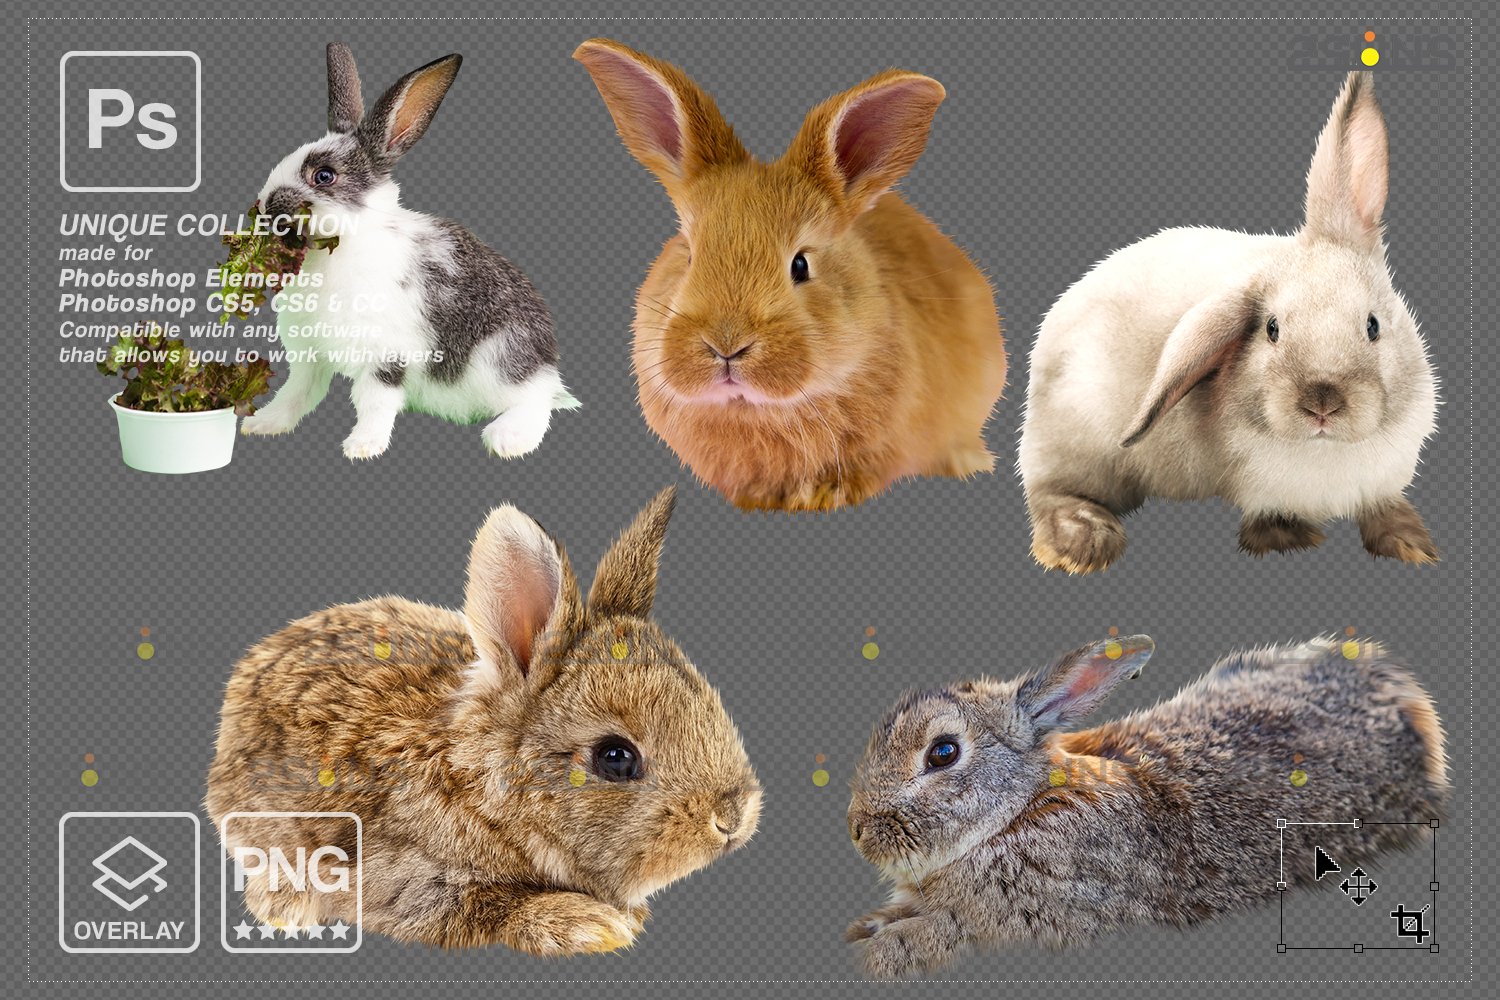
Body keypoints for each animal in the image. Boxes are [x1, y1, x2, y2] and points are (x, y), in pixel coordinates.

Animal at [206, 487, 762, 954]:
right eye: (616, 757)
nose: (731, 819)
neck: (482, 788)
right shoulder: (400, 877)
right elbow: (480, 905)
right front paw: (592, 924)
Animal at [239, 43, 579, 461]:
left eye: (324, 176)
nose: (265, 208)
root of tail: (547, 364)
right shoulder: (309, 353)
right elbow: (296, 393)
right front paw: (262, 424)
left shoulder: (386, 356)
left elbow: (373, 401)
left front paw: (362, 447)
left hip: (501, 358)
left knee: (535, 401)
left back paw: (507, 439)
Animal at [1018, 71, 1438, 573]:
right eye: (1272, 328)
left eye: (1373, 325)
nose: (1322, 403)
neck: (1327, 452)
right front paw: (1286, 539)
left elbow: (1384, 508)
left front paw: (1410, 543)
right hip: (1076, 440)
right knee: (1049, 490)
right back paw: (1080, 542)